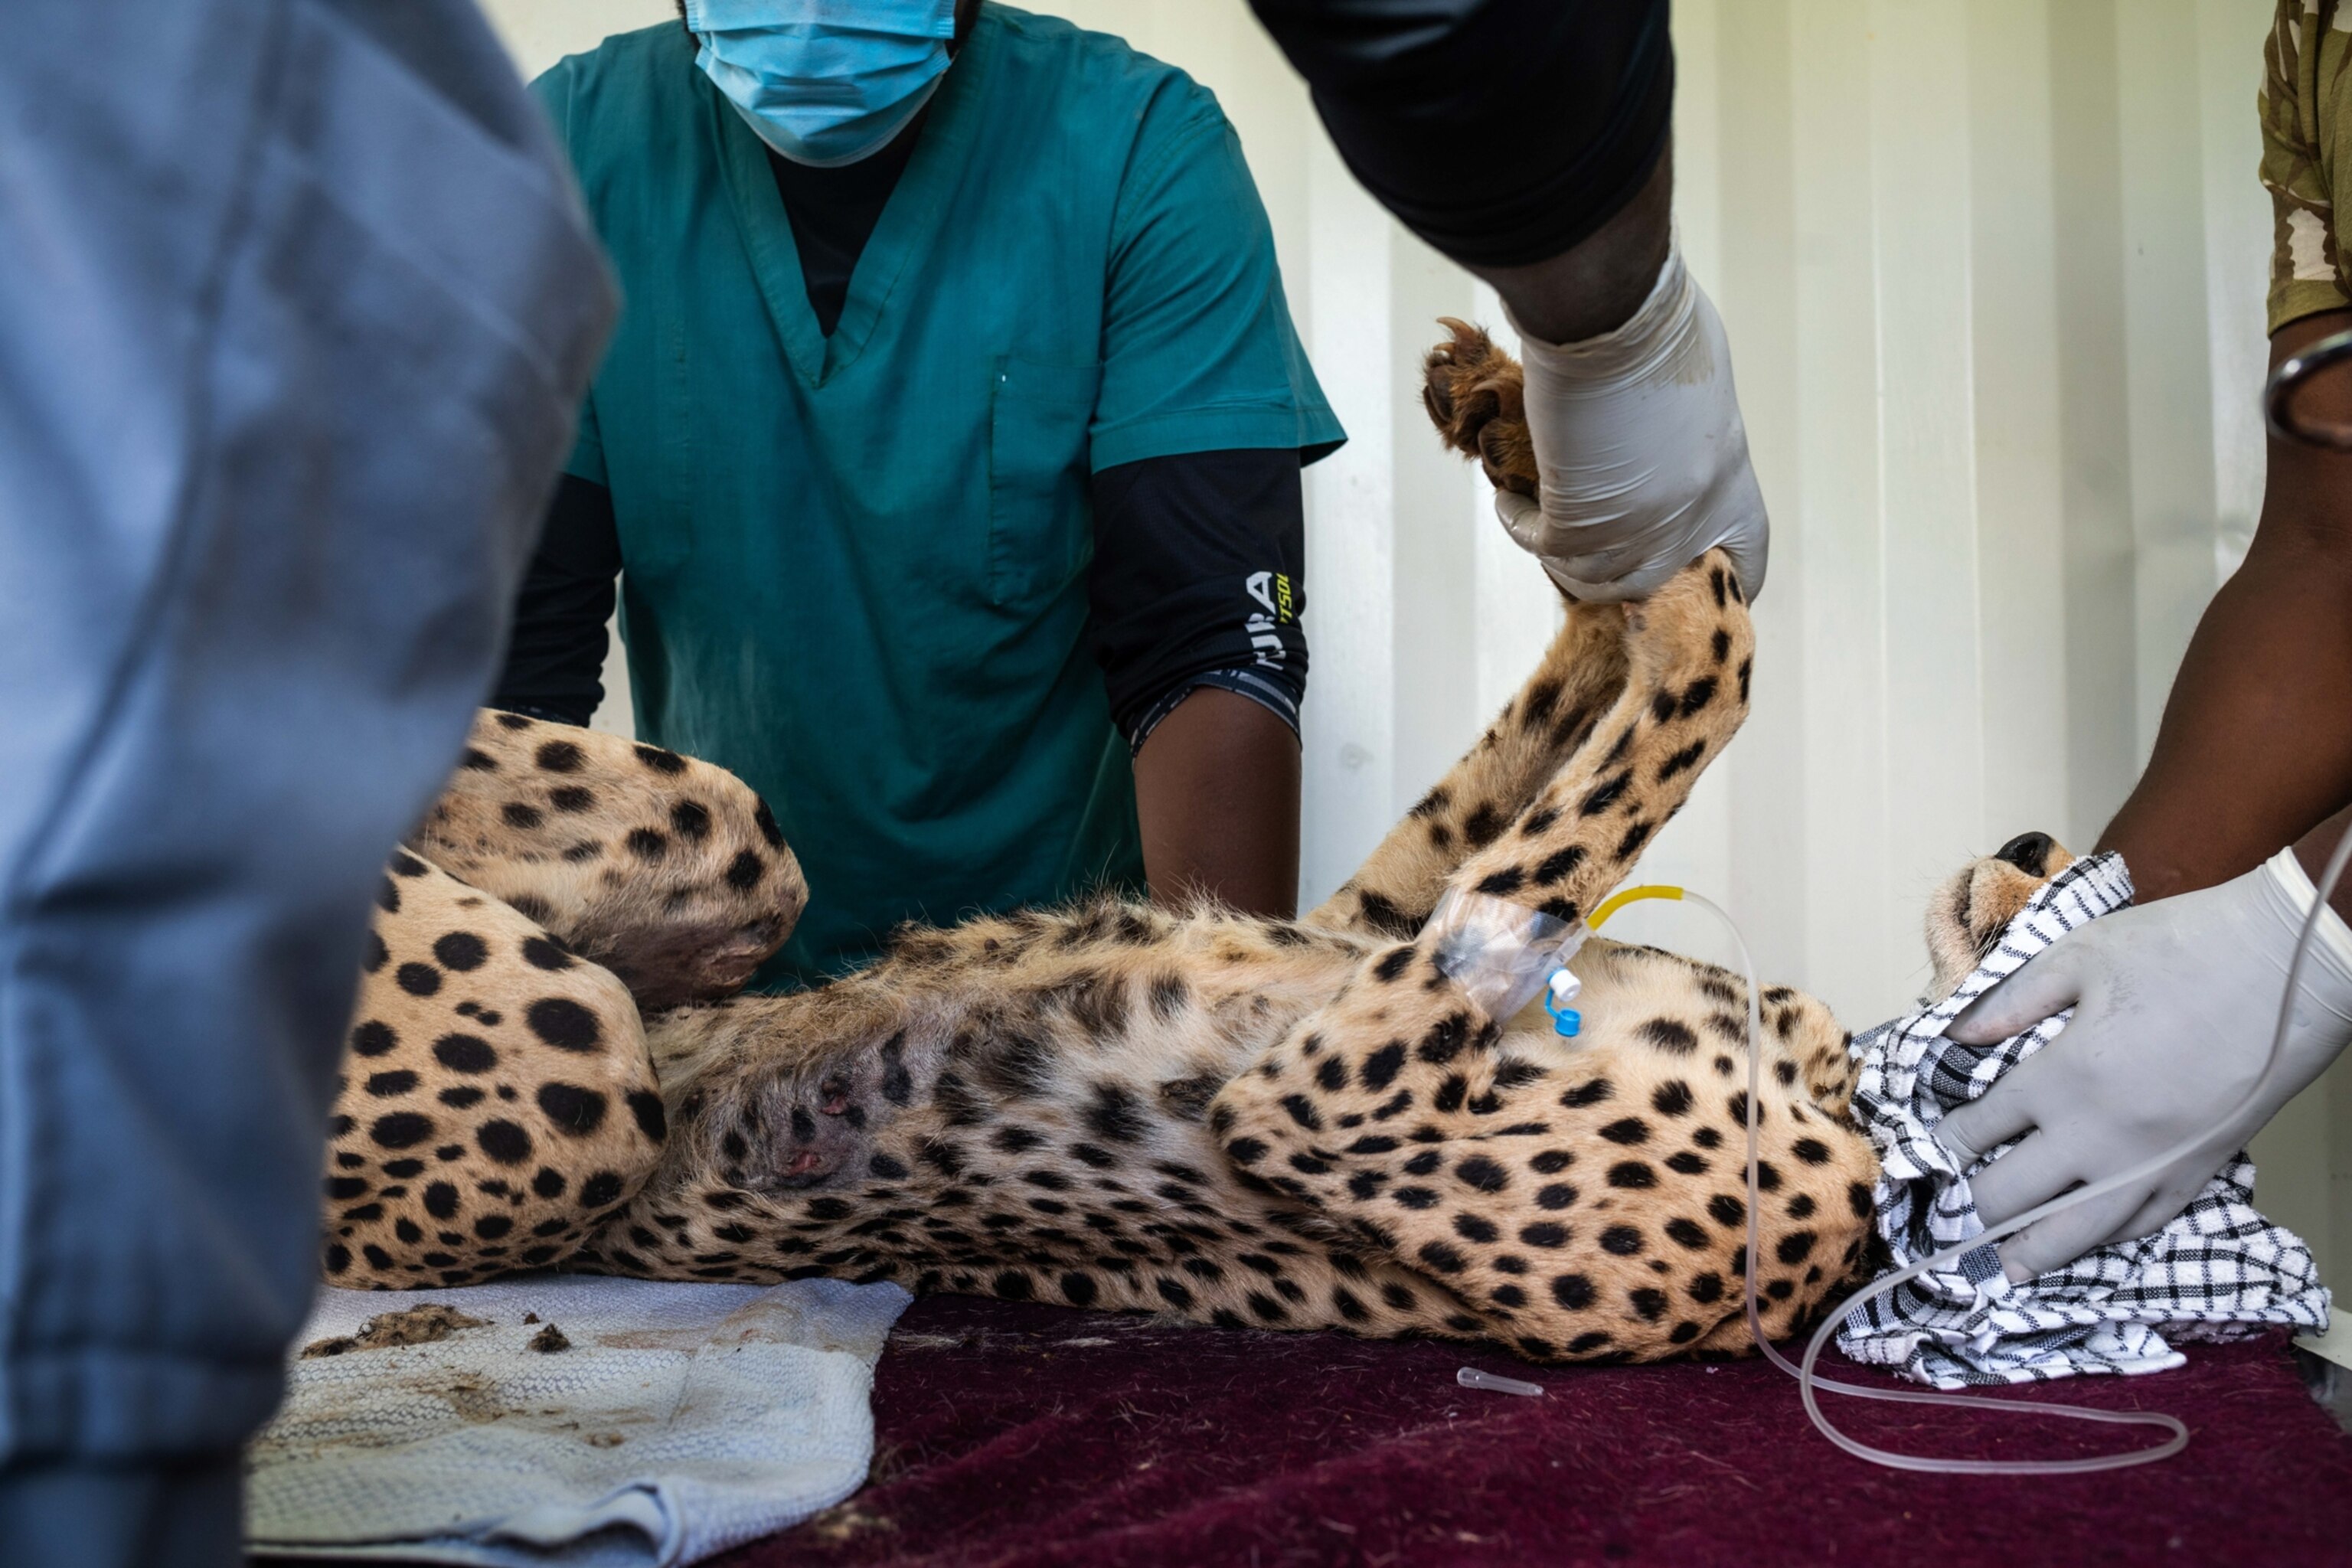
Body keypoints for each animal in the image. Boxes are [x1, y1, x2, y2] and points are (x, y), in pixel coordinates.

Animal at [316, 321, 1886, 1364]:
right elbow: (1552, 732)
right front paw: (1542, 453)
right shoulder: (1367, 945)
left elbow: (1697, 690)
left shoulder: (1324, 1095)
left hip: (574, 1061)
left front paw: (1672, 555)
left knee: (706, 836)